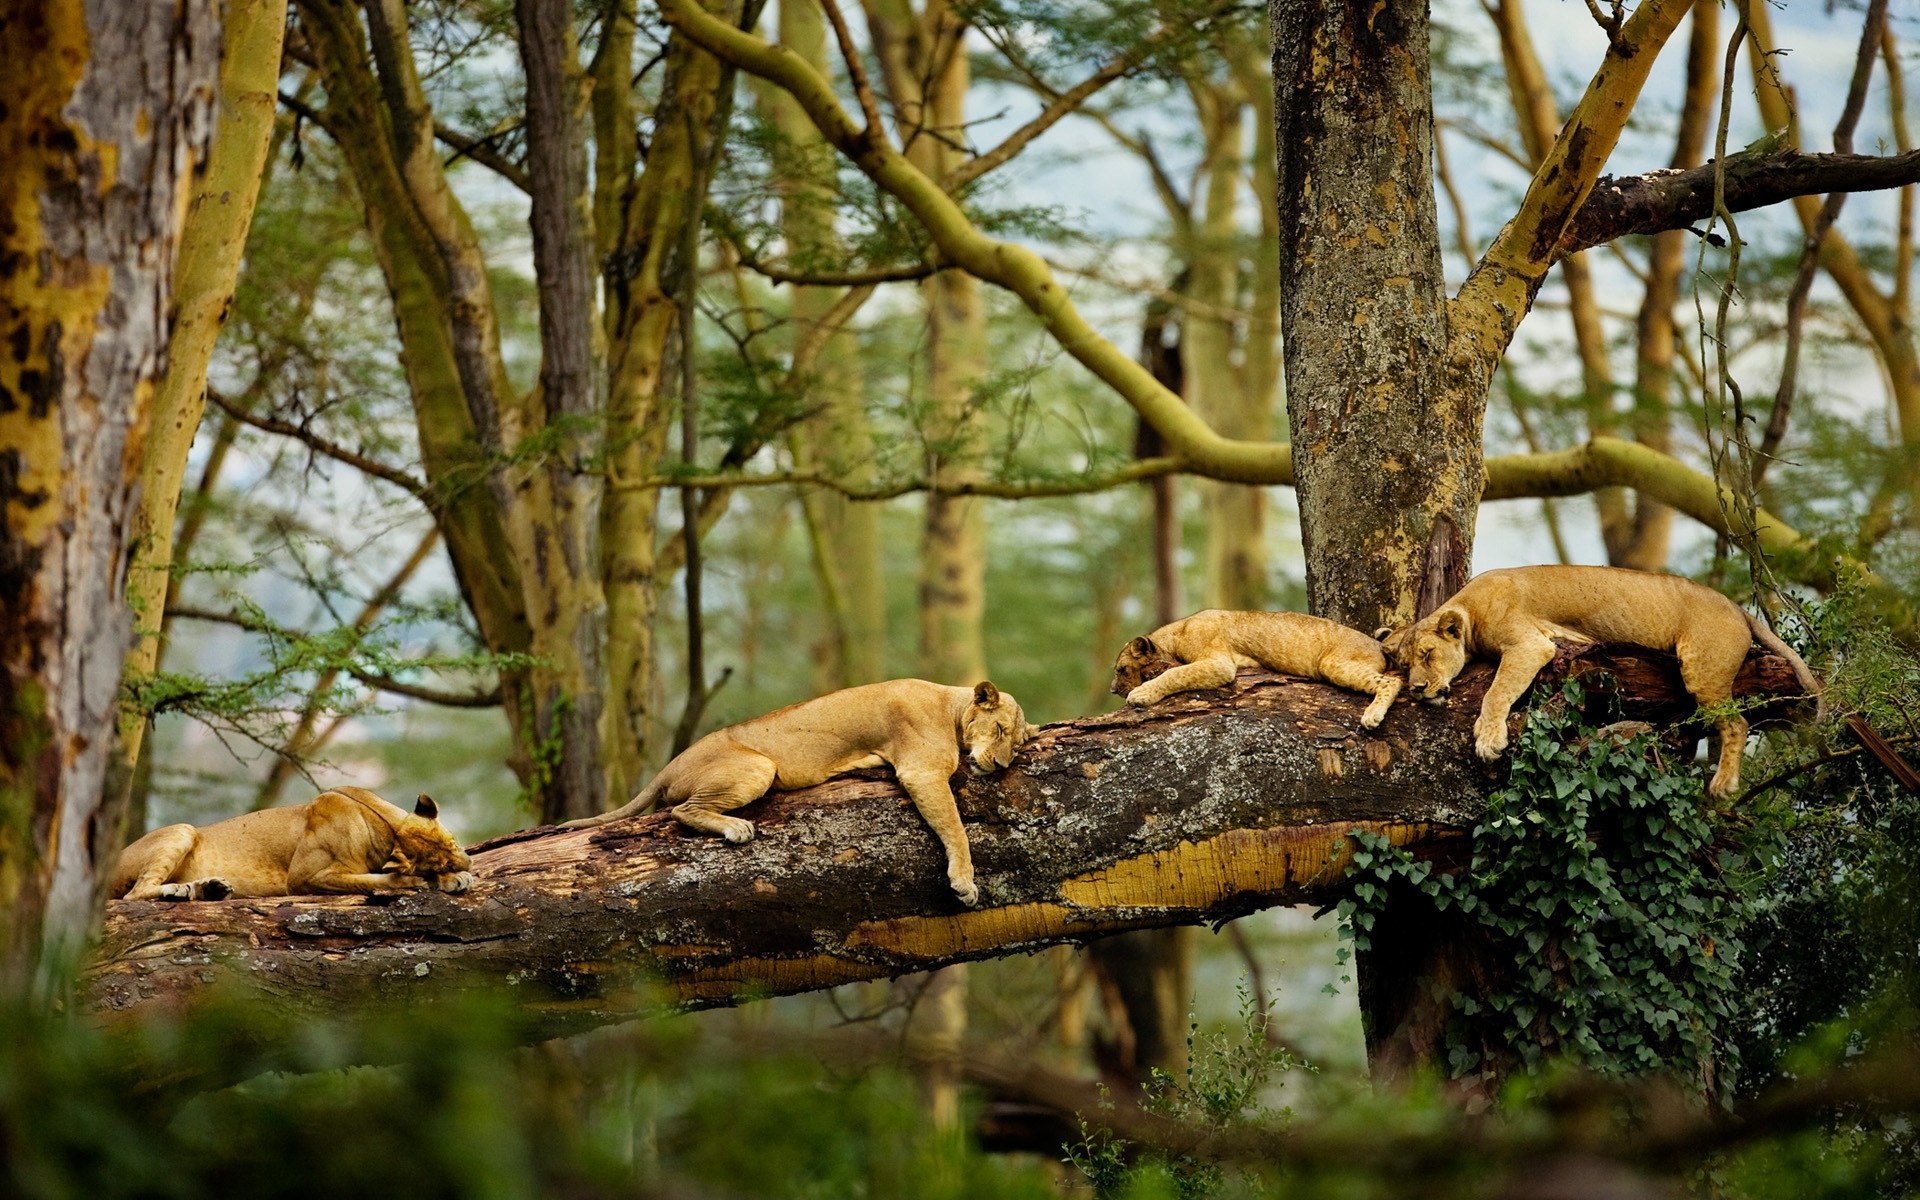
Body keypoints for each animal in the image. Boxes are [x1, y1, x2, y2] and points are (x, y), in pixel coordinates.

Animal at [112, 788, 475, 901]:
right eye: (439, 863)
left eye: (455, 843)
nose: (469, 864)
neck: (385, 826)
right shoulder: (304, 877)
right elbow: (381, 879)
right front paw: (436, 880)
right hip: (182, 830)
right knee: (134, 894)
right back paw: (179, 890)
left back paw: (208, 889)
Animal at [556, 679, 1035, 907]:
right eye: (998, 729)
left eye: (1015, 746)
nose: (999, 764)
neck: (951, 705)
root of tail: (668, 766)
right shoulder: (922, 771)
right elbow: (956, 830)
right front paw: (965, 883)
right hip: (758, 766)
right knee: (681, 810)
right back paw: (736, 828)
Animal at [1110, 609, 1403, 729]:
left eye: (1121, 669)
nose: (1112, 690)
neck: (1174, 633)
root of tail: (1379, 645)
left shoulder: (1219, 662)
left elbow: (1175, 673)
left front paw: (1140, 695)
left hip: (1333, 662)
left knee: (1393, 682)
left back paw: (1372, 715)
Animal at [1381, 565, 1820, 798]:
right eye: (1404, 665)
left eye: (1428, 655)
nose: (1418, 688)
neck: (1469, 607)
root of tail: (1736, 606)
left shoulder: (1530, 645)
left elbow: (1497, 691)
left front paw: (1489, 740)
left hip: (1703, 669)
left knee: (1736, 723)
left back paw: (1723, 785)